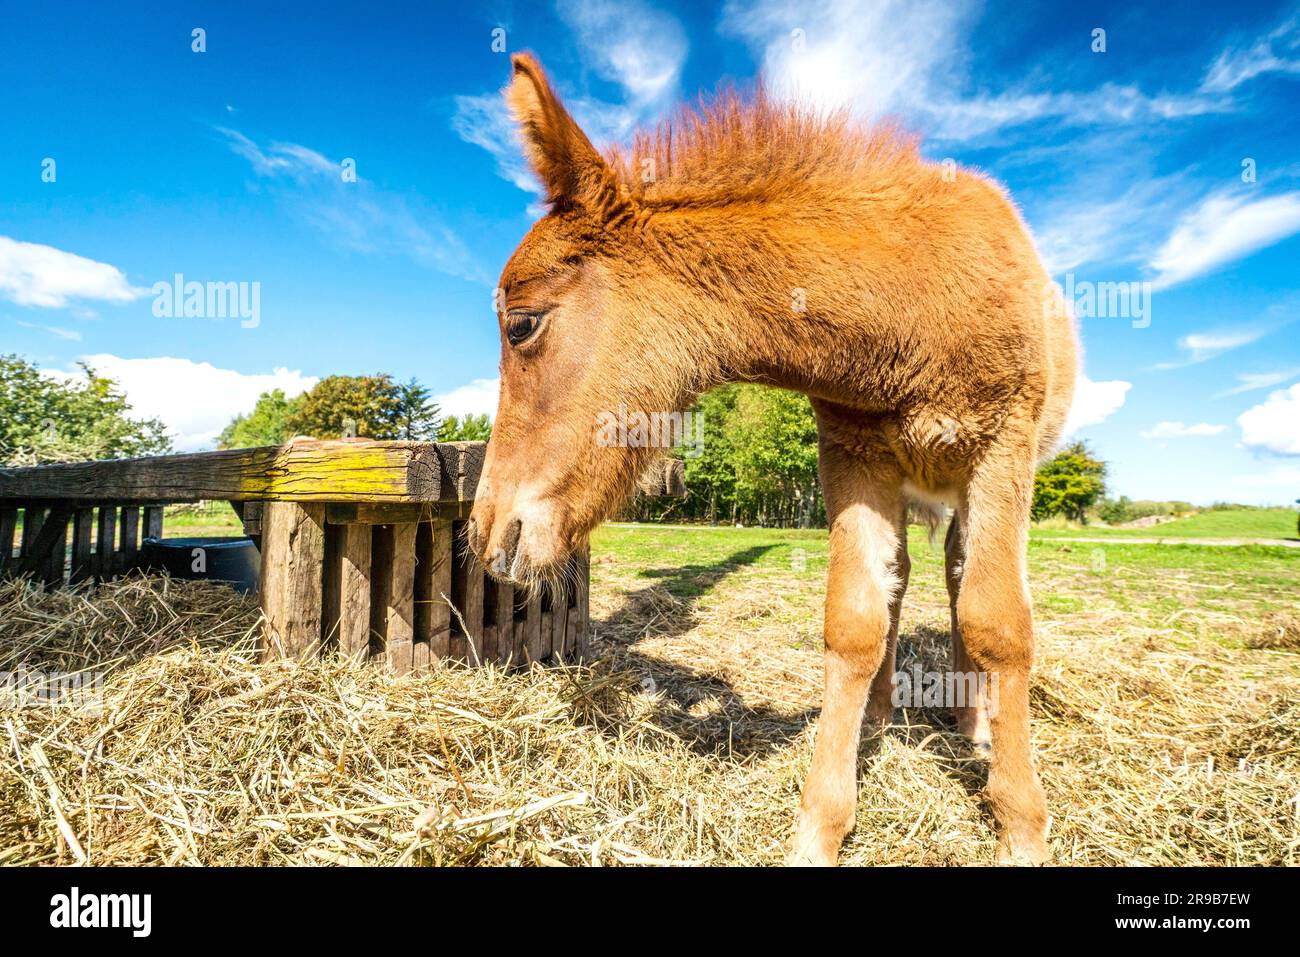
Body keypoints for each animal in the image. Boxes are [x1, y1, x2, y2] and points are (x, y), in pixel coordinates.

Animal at [467, 53, 1078, 866]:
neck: (917, 303)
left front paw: (1020, 824)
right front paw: (821, 825)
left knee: (960, 578)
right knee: (902, 586)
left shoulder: (1003, 452)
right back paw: (881, 716)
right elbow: (855, 621)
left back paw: (974, 724)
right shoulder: (854, 457)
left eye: (521, 324)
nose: (488, 532)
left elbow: (998, 623)